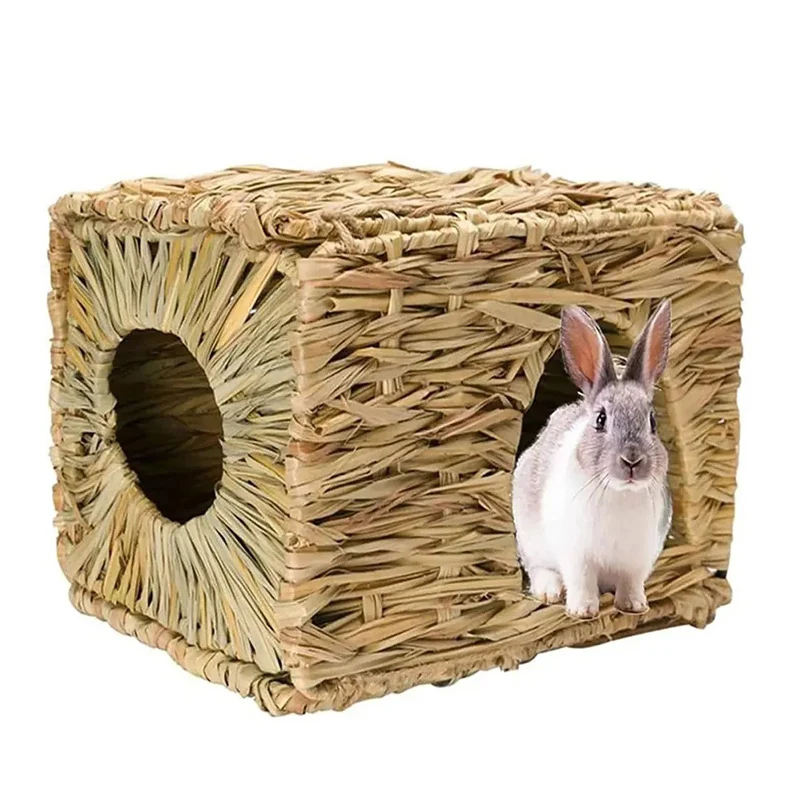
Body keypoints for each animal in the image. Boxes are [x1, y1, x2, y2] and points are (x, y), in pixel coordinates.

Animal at [512, 300, 673, 619]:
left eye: (652, 422)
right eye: (600, 420)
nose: (632, 461)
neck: (620, 493)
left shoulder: (637, 560)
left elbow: (631, 583)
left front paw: (635, 606)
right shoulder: (577, 557)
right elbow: (582, 582)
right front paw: (583, 611)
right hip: (530, 540)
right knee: (539, 569)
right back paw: (549, 592)